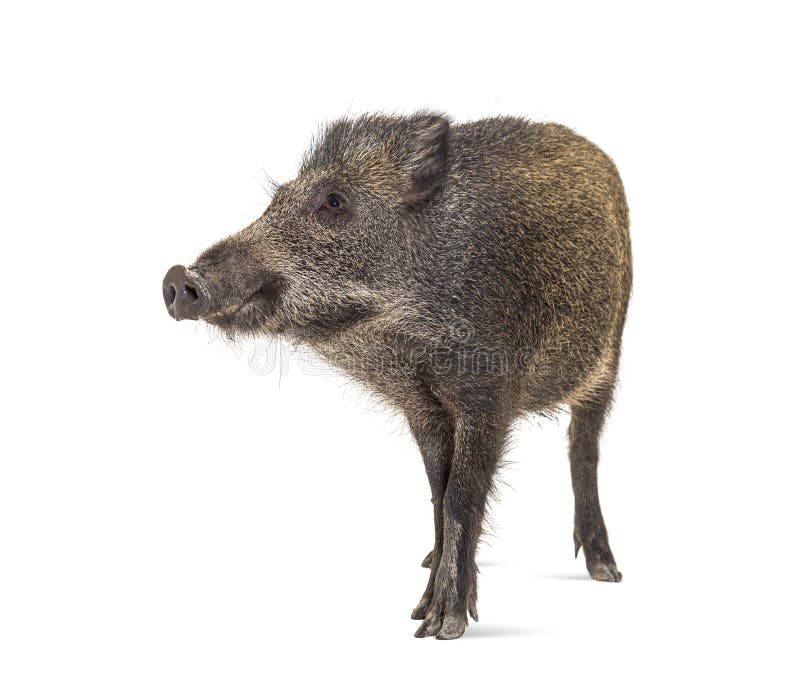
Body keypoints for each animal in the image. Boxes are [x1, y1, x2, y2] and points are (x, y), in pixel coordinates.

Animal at [162, 112, 632, 640]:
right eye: (277, 197)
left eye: (334, 201)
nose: (178, 278)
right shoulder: (421, 406)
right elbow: (437, 494)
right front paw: (423, 605)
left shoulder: (488, 397)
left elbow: (462, 497)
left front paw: (441, 626)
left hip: (611, 352)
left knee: (584, 448)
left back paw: (606, 571)